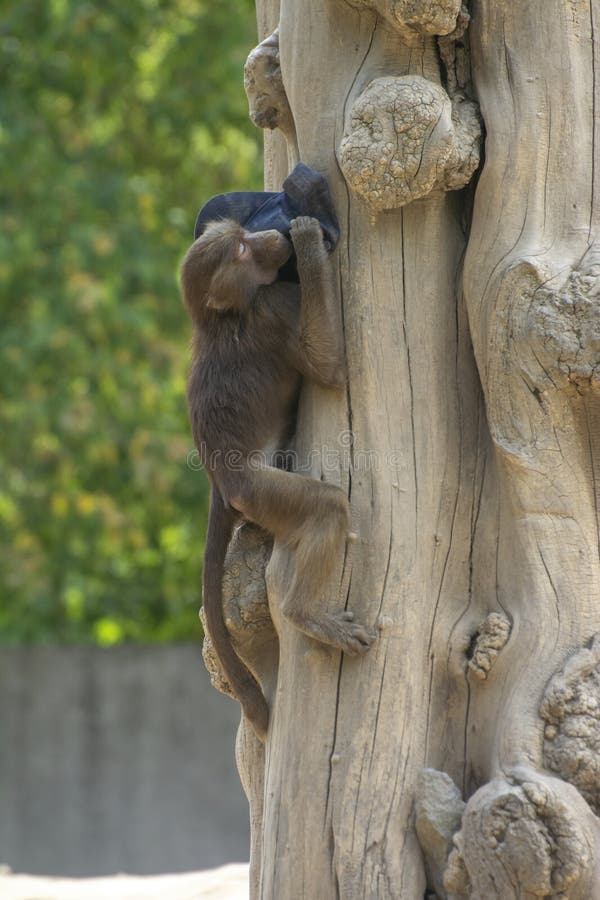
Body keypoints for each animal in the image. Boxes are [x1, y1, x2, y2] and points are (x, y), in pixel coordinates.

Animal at [181, 215, 376, 741]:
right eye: (242, 249)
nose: (273, 237)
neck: (221, 318)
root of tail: (221, 483)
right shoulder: (276, 308)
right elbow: (329, 368)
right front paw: (309, 244)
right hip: (259, 490)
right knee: (327, 505)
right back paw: (304, 615)